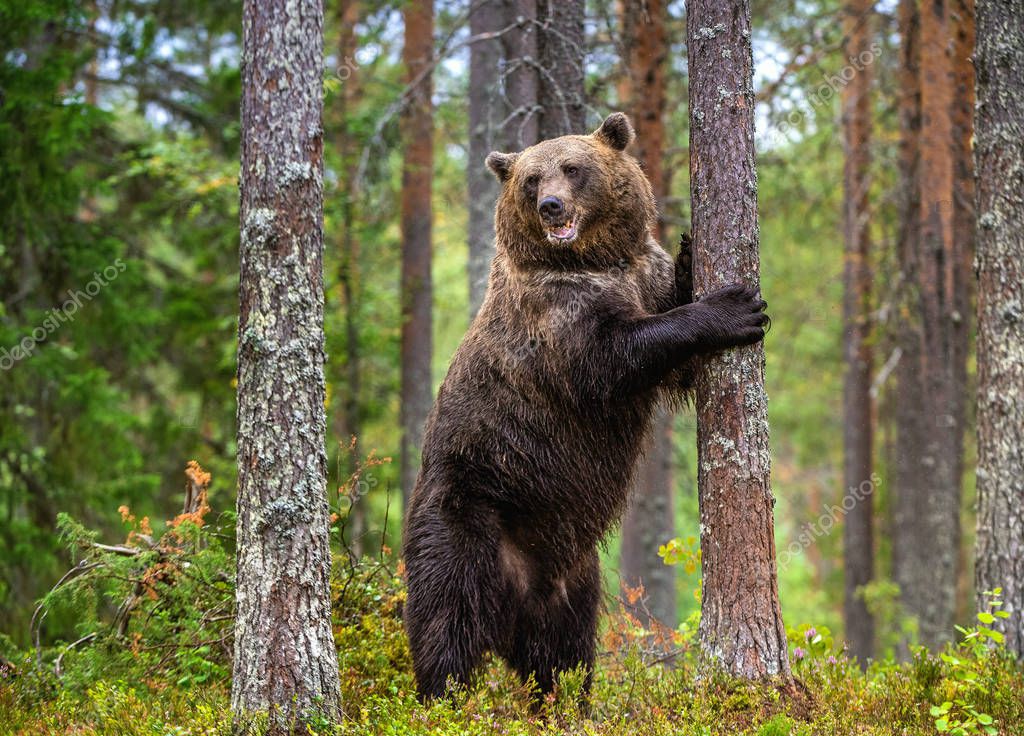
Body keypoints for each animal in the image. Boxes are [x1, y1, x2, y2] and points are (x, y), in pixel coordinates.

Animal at [402, 112, 768, 701]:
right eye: (532, 180)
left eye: (573, 168)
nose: (551, 205)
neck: (597, 259)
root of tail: (517, 592)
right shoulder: (555, 311)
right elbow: (612, 355)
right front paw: (732, 308)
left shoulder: (640, 273)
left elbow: (678, 363)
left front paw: (692, 255)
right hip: (465, 513)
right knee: (447, 621)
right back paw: (441, 700)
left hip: (573, 577)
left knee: (564, 655)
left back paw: (566, 702)